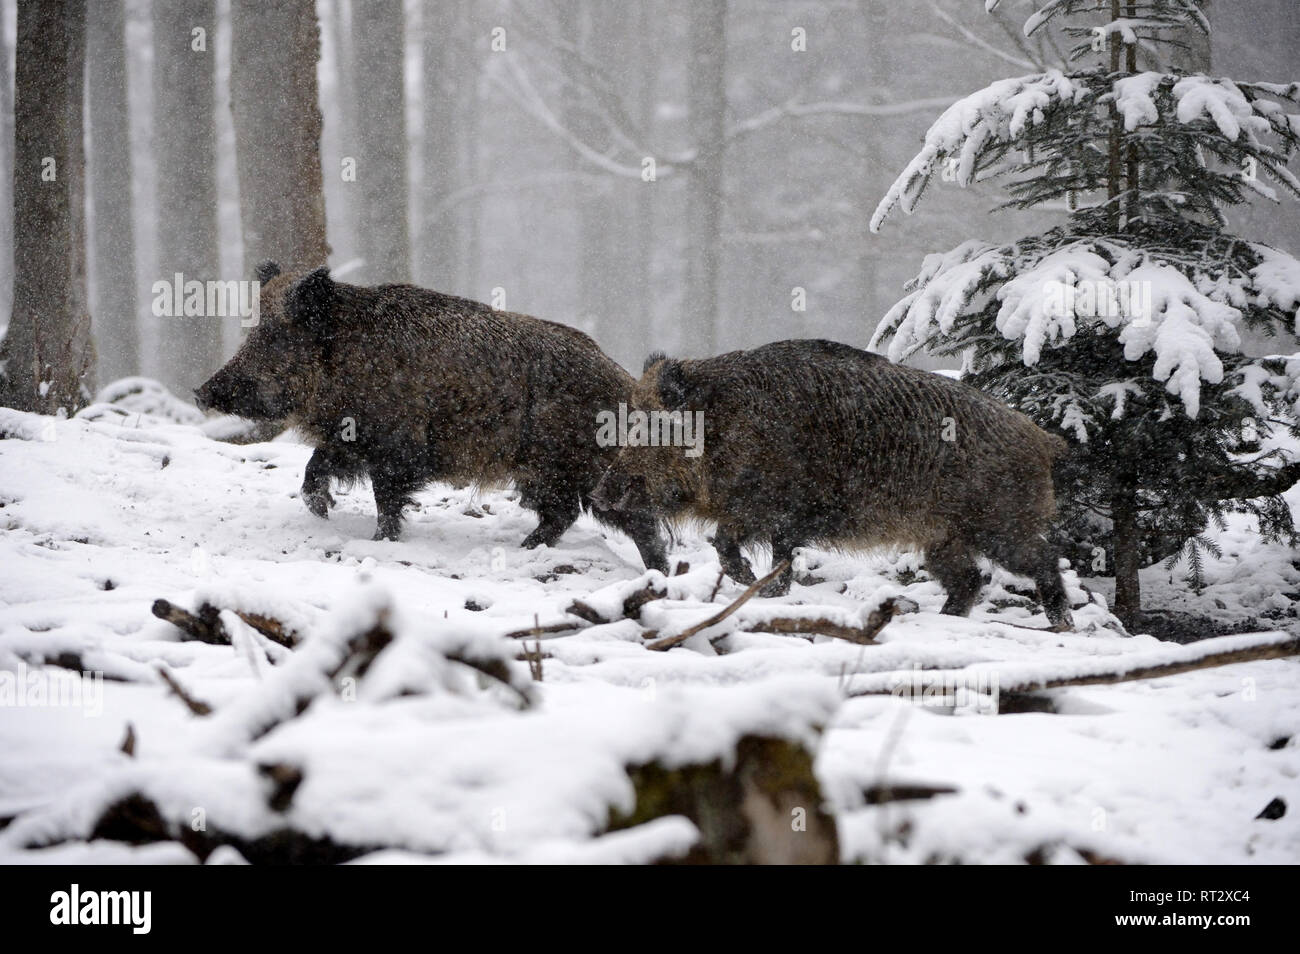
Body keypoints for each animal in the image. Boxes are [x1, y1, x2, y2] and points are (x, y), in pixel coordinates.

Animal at [195, 262, 667, 572]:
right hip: (549, 472)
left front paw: (379, 542)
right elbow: (315, 468)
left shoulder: (398, 448)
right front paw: (323, 511)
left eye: (275, 335)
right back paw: (530, 550)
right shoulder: (352, 439)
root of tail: (626, 383)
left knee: (626, 519)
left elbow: (386, 500)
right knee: (565, 513)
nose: (202, 392)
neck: (344, 358)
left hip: (583, 467)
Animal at [591, 339, 1074, 630]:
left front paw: (755, 583)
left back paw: (1061, 623)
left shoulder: (768, 506)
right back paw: (947, 617)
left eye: (652, 427)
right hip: (944, 539)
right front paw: (766, 587)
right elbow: (770, 553)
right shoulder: (773, 518)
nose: (599, 493)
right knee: (969, 579)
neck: (727, 425)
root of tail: (1043, 440)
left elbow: (732, 542)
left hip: (999, 524)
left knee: (1043, 558)